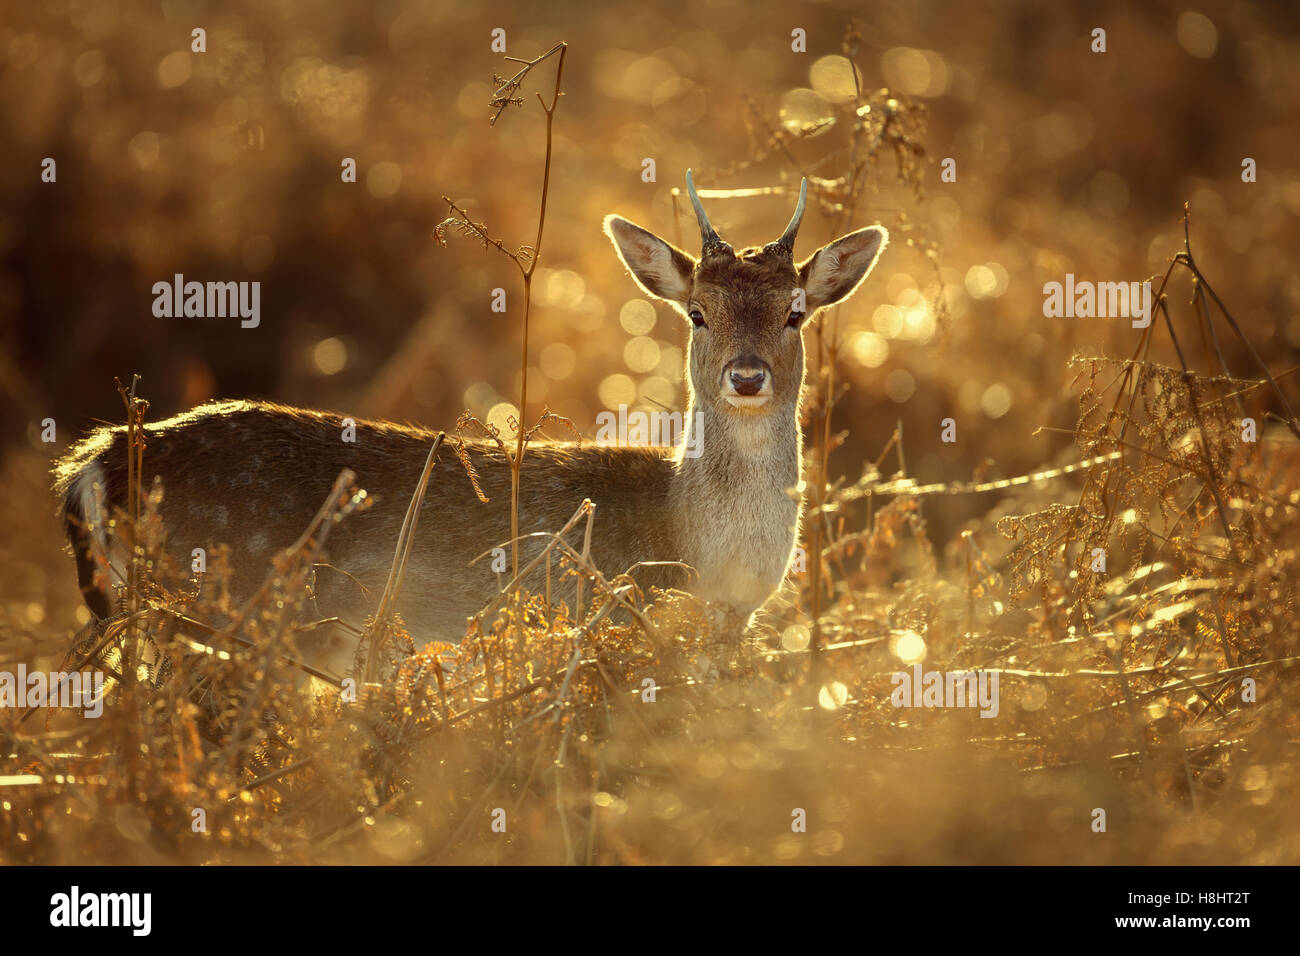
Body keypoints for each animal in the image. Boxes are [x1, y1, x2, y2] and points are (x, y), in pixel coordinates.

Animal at [52, 172, 888, 678]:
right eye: (698, 312)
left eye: (795, 312)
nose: (746, 377)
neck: (702, 557)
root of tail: (98, 463)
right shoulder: (606, 615)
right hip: (227, 616)